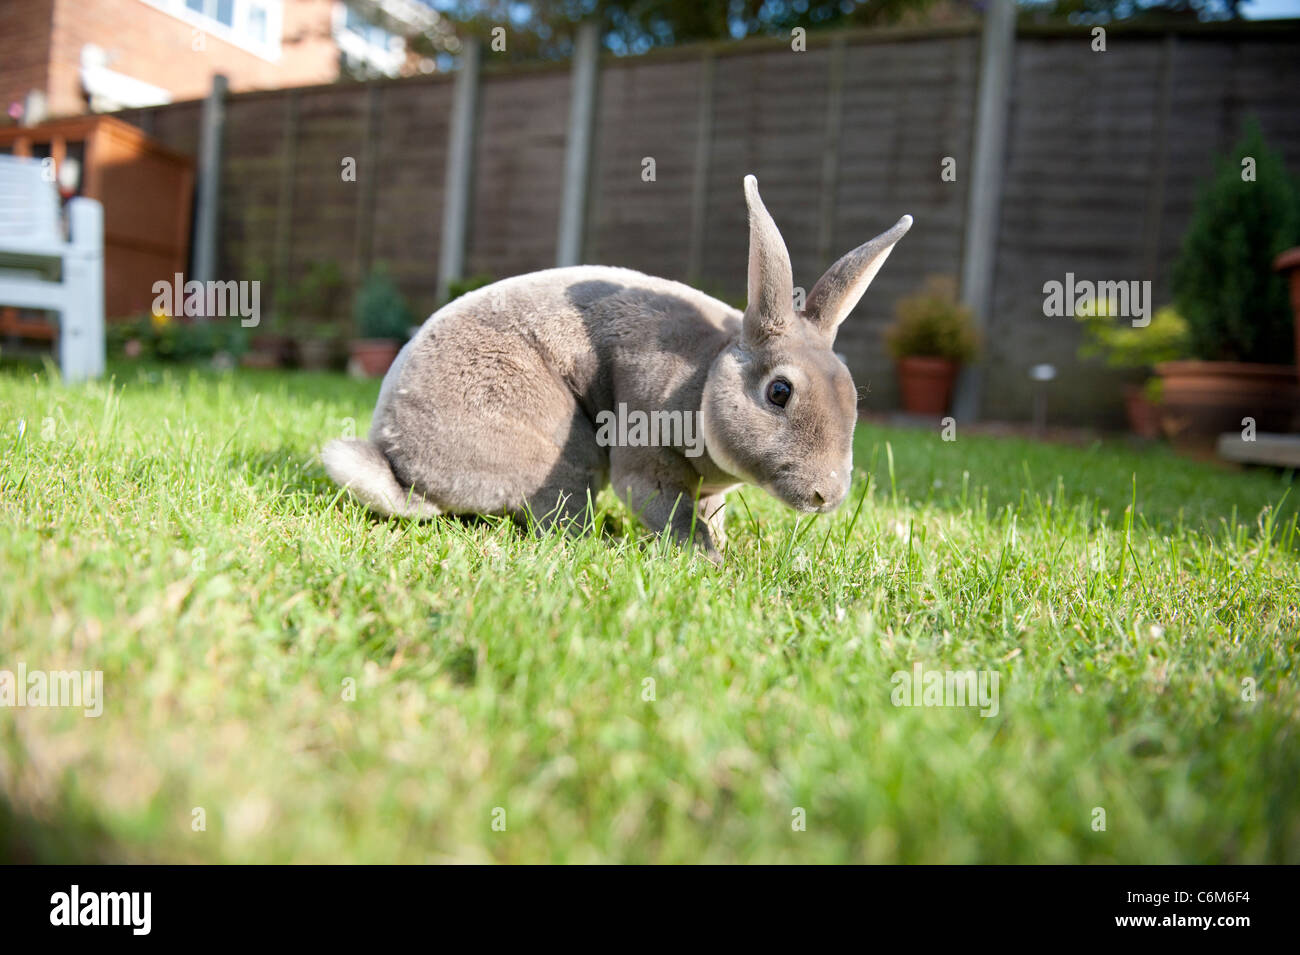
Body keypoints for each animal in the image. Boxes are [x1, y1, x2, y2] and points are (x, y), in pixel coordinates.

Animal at [323, 175, 911, 561]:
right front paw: (709, 558)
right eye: (780, 392)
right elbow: (665, 507)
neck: (703, 378)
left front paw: (720, 546)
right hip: (557, 446)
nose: (827, 496)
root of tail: (401, 464)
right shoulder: (647, 454)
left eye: (852, 395)